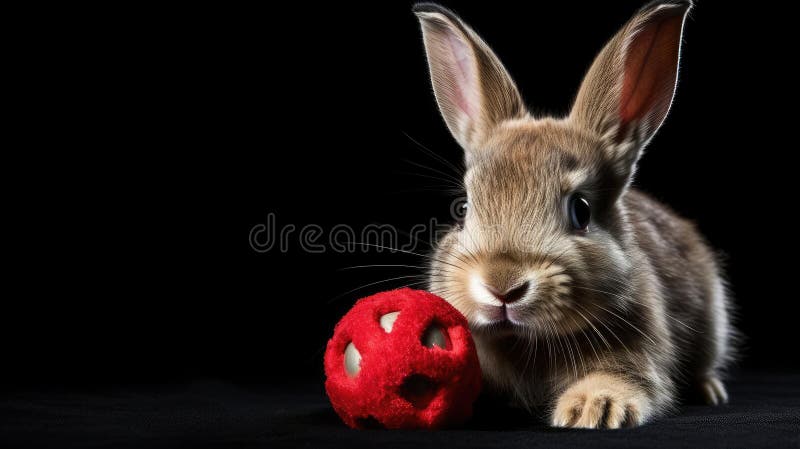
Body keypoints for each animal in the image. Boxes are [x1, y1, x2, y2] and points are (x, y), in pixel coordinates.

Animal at [415, 1, 734, 428]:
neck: (524, 341)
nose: (502, 286)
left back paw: (709, 390)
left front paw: (594, 408)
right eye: (463, 208)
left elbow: (623, 377)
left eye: (580, 210)